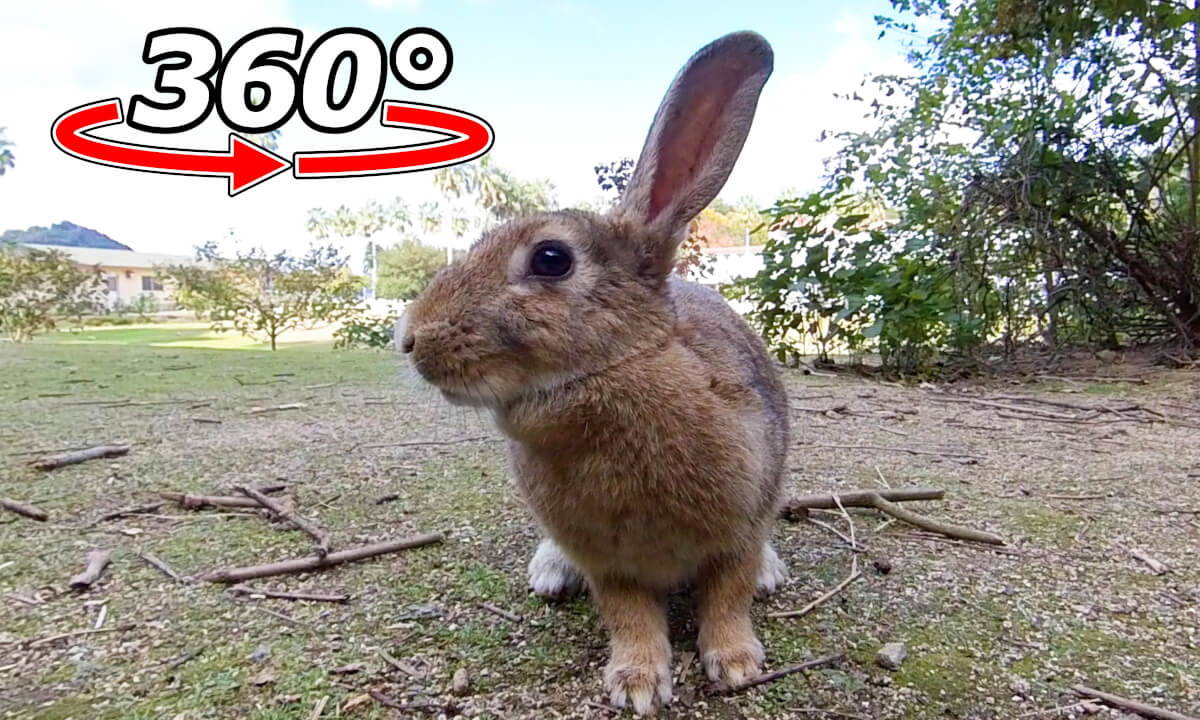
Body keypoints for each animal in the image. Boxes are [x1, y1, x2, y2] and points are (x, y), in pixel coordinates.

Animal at [400, 31, 787, 716]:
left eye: (551, 258)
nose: (409, 339)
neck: (611, 376)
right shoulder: (609, 563)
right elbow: (629, 615)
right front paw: (637, 684)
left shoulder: (743, 524)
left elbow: (729, 595)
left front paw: (737, 664)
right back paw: (551, 573)